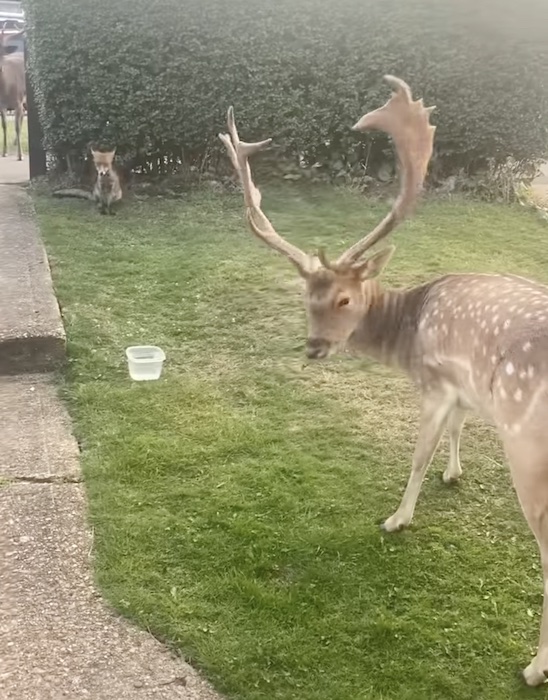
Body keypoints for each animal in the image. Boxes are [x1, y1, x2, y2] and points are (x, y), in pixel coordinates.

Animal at [219, 75, 548, 686]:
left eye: (345, 299)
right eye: (306, 297)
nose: (314, 347)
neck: (408, 335)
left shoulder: (435, 382)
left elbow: (418, 454)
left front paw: (397, 518)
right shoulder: (462, 389)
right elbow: (458, 431)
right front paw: (454, 473)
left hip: (529, 448)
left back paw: (535, 667)